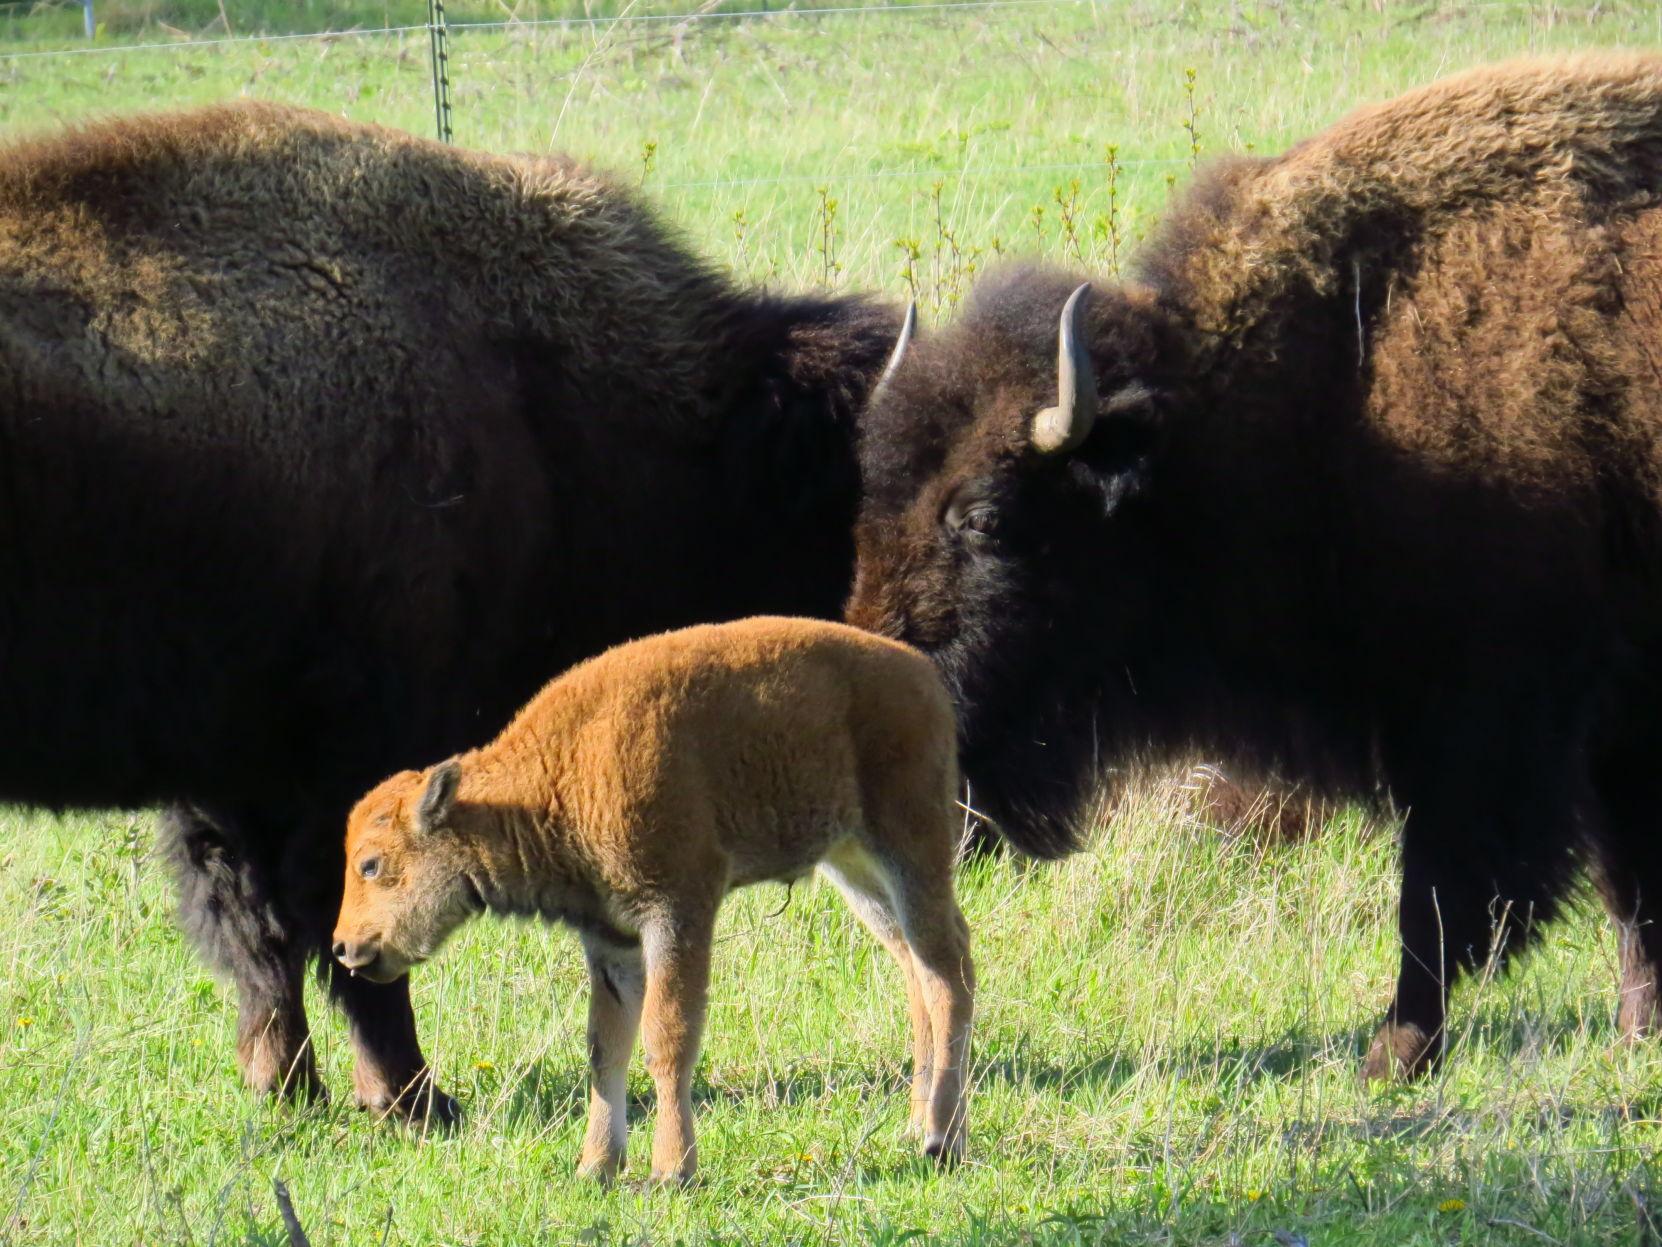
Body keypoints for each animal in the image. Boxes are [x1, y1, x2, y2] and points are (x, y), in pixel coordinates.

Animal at [0, 102, 904, 1119]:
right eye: (830, 510)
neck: (533, 387)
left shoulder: (232, 771)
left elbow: (257, 931)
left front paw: (292, 1090)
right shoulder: (342, 755)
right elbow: (341, 924)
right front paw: (414, 1100)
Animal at [848, 53, 1662, 1079]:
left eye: (987, 517)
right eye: (873, 501)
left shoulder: (1486, 721)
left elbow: (1444, 897)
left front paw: (1392, 1053)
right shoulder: (1608, 724)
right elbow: (1629, 885)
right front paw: (1639, 1030)